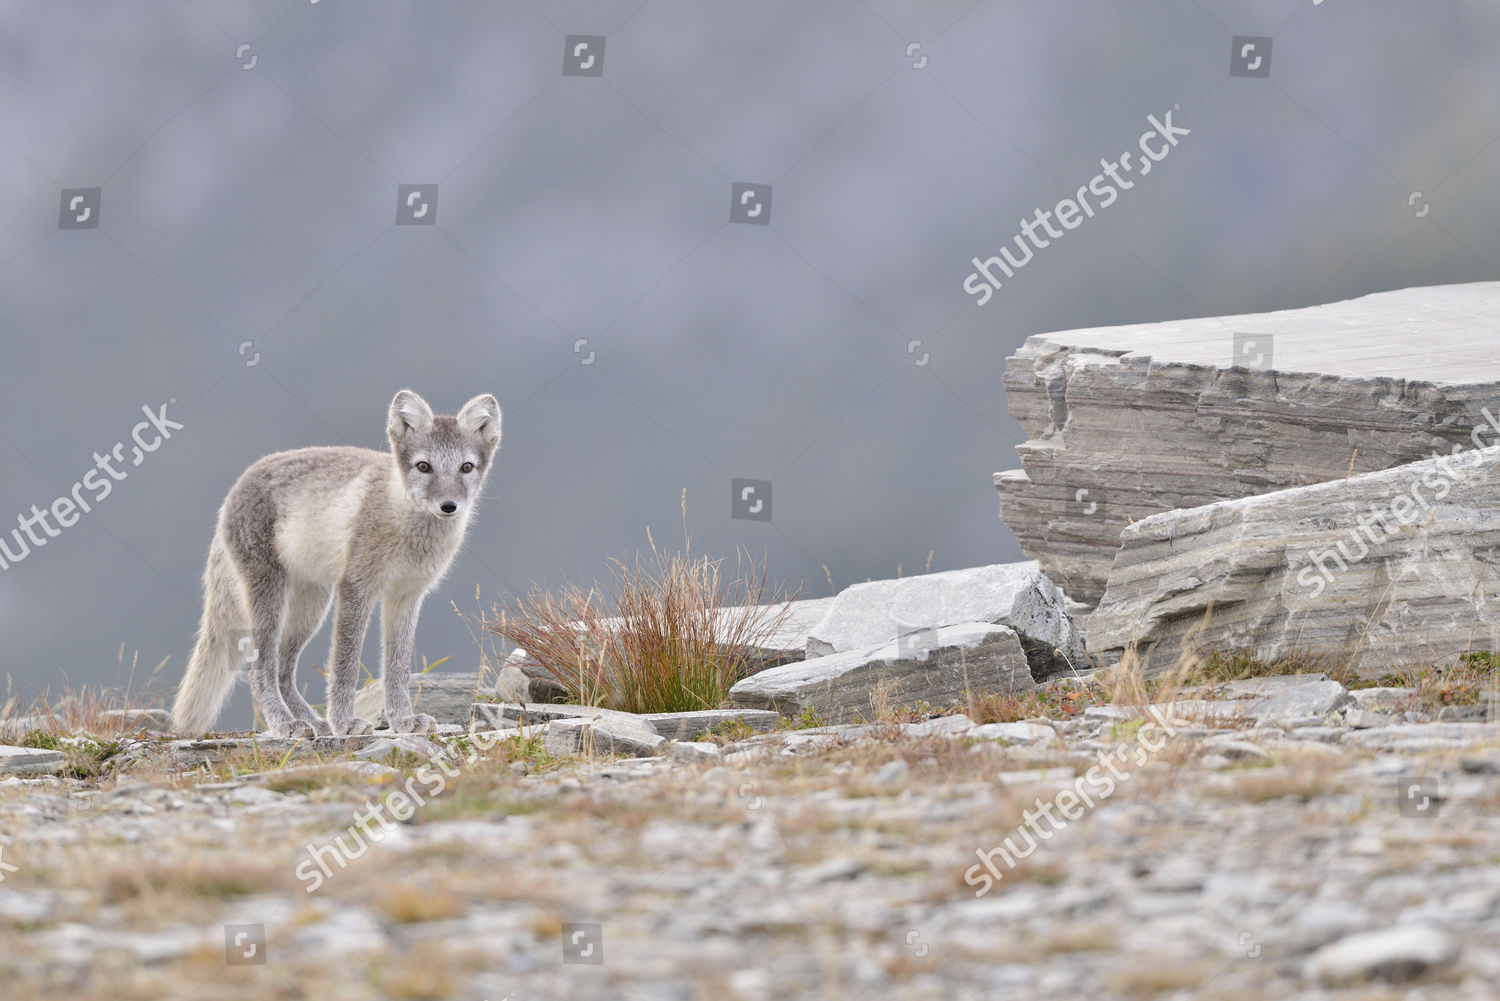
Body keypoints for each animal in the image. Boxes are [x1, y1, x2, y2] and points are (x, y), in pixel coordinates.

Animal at [171, 389, 502, 738]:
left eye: (466, 467)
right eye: (424, 466)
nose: (448, 506)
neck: (404, 523)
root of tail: (236, 487)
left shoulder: (407, 596)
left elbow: (397, 669)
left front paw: (402, 721)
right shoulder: (355, 587)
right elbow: (346, 665)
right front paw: (345, 723)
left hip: (311, 606)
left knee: (283, 672)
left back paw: (315, 723)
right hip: (270, 597)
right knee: (260, 671)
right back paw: (286, 724)